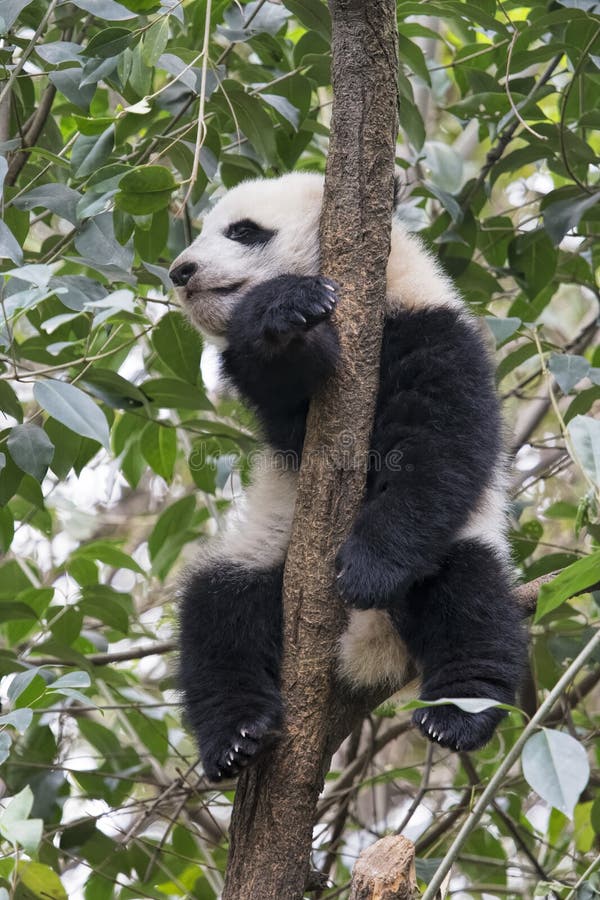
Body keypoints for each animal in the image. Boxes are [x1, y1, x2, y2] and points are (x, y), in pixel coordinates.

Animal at [169, 171, 526, 783]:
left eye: (244, 231)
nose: (181, 271)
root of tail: (365, 650)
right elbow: (290, 408)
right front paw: (284, 310)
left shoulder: (436, 333)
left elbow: (438, 451)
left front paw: (368, 569)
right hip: (266, 552)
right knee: (218, 613)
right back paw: (235, 736)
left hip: (453, 548)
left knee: (469, 600)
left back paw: (458, 713)